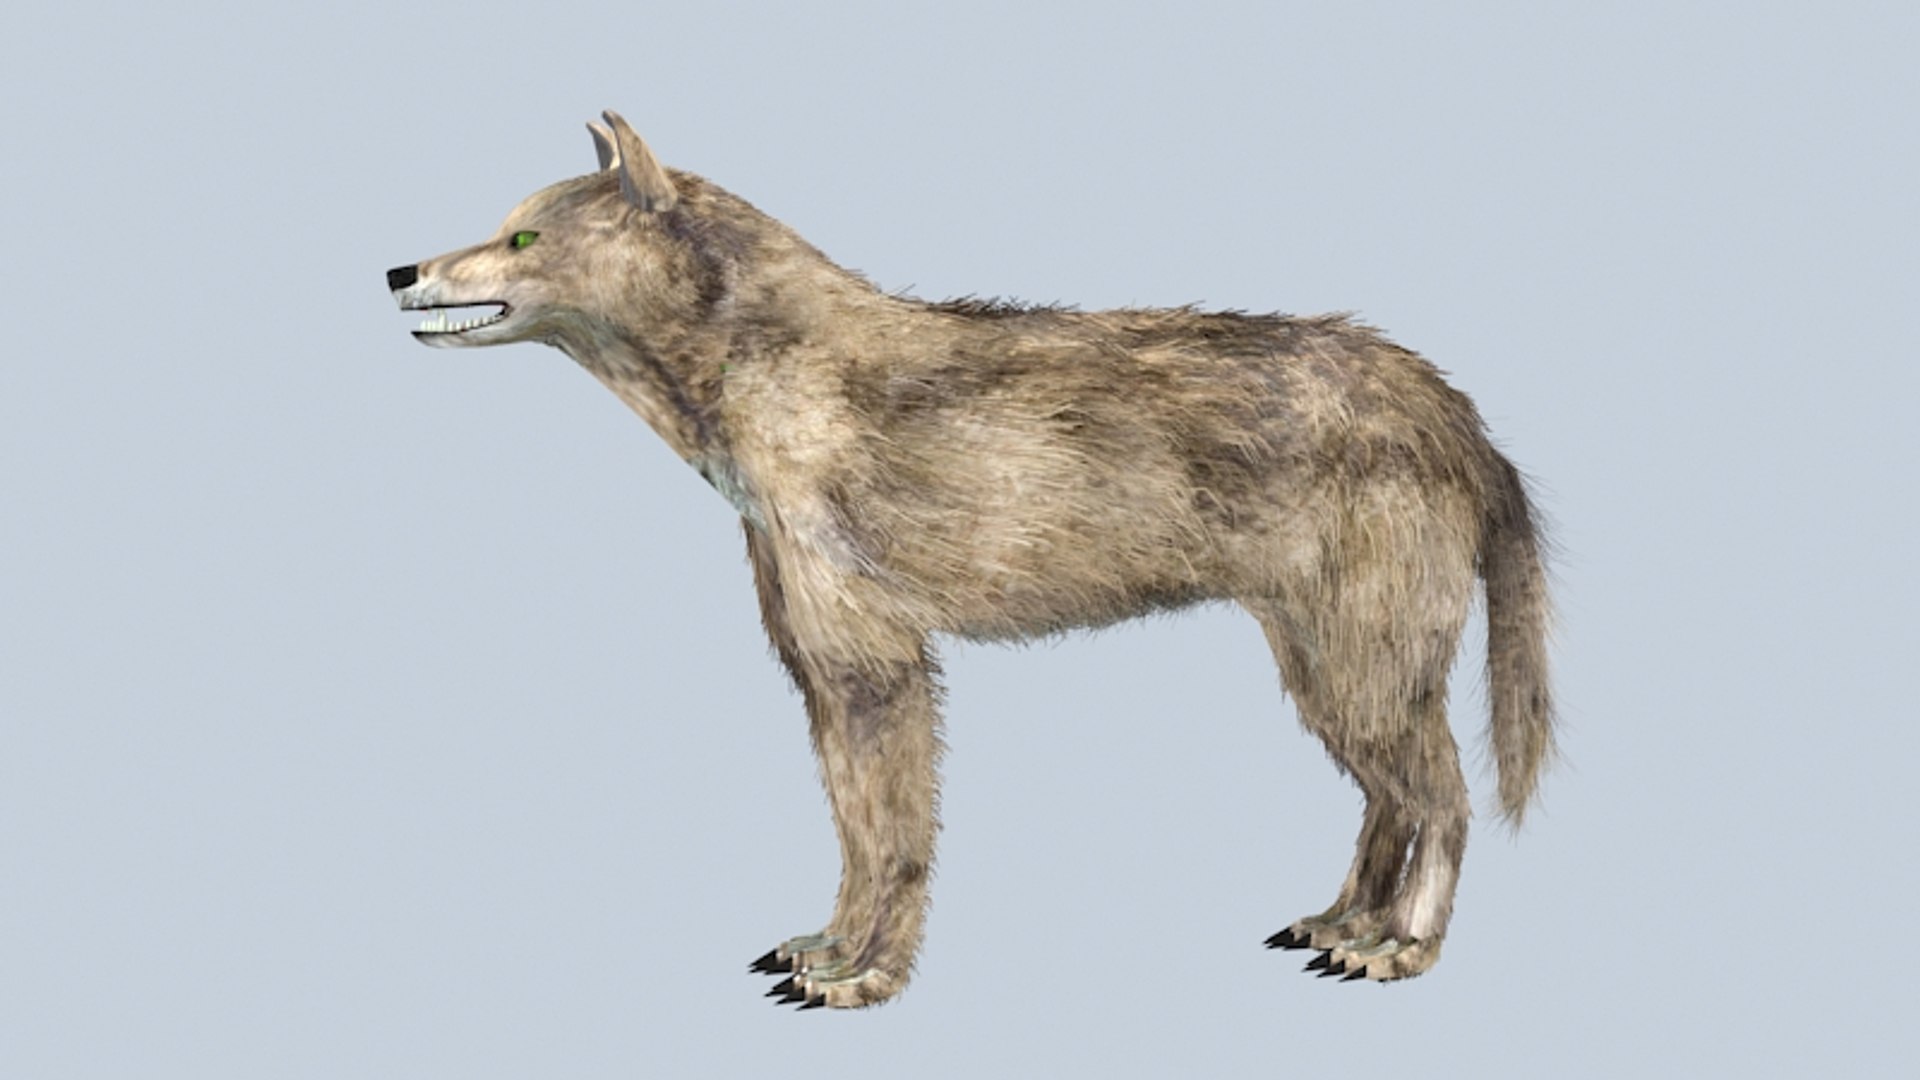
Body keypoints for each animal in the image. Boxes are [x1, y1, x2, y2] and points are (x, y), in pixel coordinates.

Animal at [386, 110, 1555, 1009]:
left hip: (1365, 663)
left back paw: (1399, 946)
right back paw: (1341, 922)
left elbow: (896, 836)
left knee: (1443, 798)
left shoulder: (877, 665)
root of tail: (1450, 406)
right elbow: (859, 832)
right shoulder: (824, 671)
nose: (402, 266)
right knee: (1391, 801)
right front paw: (828, 949)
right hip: (1325, 665)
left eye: (523, 234)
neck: (763, 368)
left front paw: (864, 978)